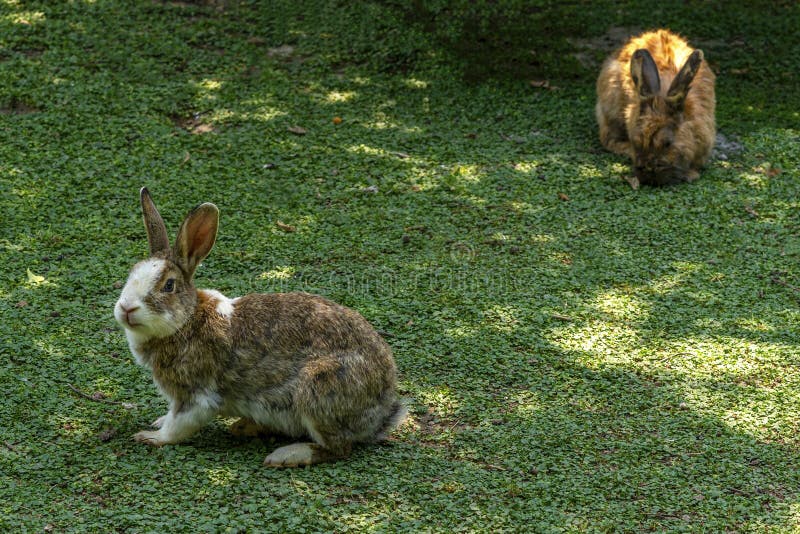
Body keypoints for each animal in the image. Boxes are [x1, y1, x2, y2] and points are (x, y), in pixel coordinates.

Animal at [114, 187, 406, 467]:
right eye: (131, 274)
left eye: (168, 285)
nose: (127, 308)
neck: (186, 321)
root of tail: (381, 409)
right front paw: (158, 422)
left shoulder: (197, 395)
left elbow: (179, 425)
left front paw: (152, 436)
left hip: (317, 390)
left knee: (338, 448)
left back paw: (286, 455)